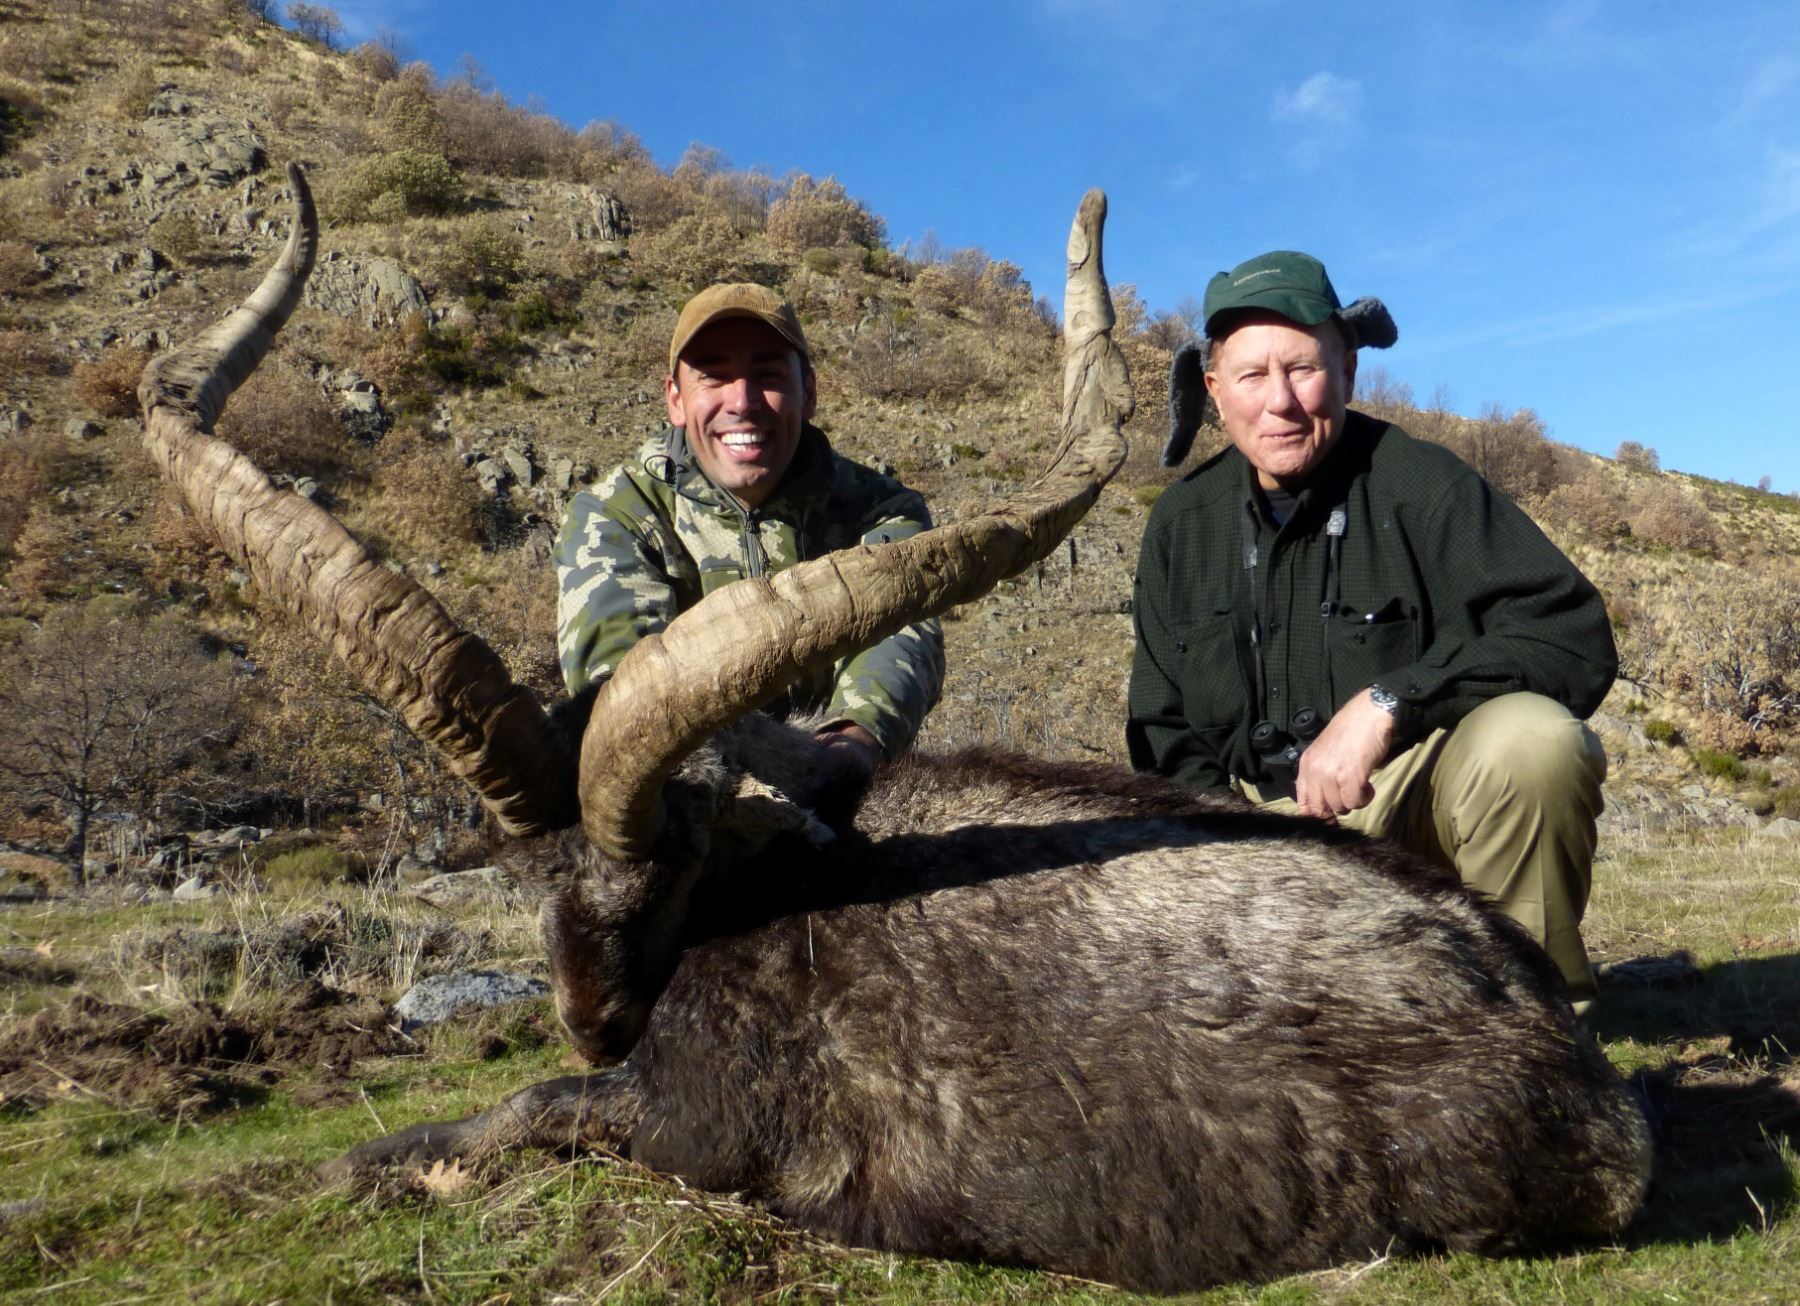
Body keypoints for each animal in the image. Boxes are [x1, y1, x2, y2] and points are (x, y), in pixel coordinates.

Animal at [137, 167, 1652, 1292]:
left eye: (672, 864)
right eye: (528, 878)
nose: (595, 1018)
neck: (756, 904)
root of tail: (1599, 1101)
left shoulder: (693, 1119)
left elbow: (513, 1118)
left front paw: (346, 1164)